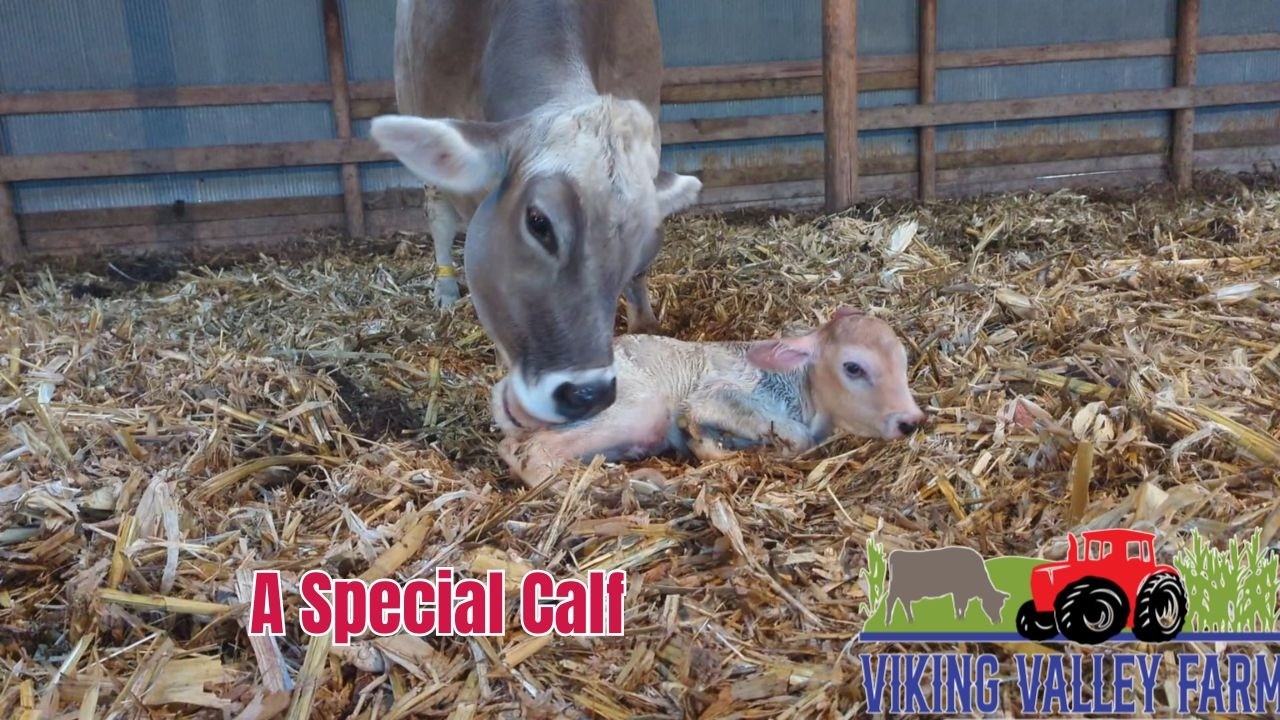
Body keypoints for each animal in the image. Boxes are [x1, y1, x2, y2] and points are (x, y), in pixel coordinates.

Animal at [370, 0, 703, 428]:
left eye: (641, 238)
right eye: (539, 223)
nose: (589, 394)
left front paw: (646, 332)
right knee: (439, 215)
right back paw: (445, 289)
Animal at [494, 307, 928, 489]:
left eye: (903, 362)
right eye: (853, 368)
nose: (910, 420)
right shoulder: (717, 396)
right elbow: (795, 438)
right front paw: (713, 447)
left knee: (512, 448)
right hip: (635, 408)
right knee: (537, 455)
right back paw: (636, 481)